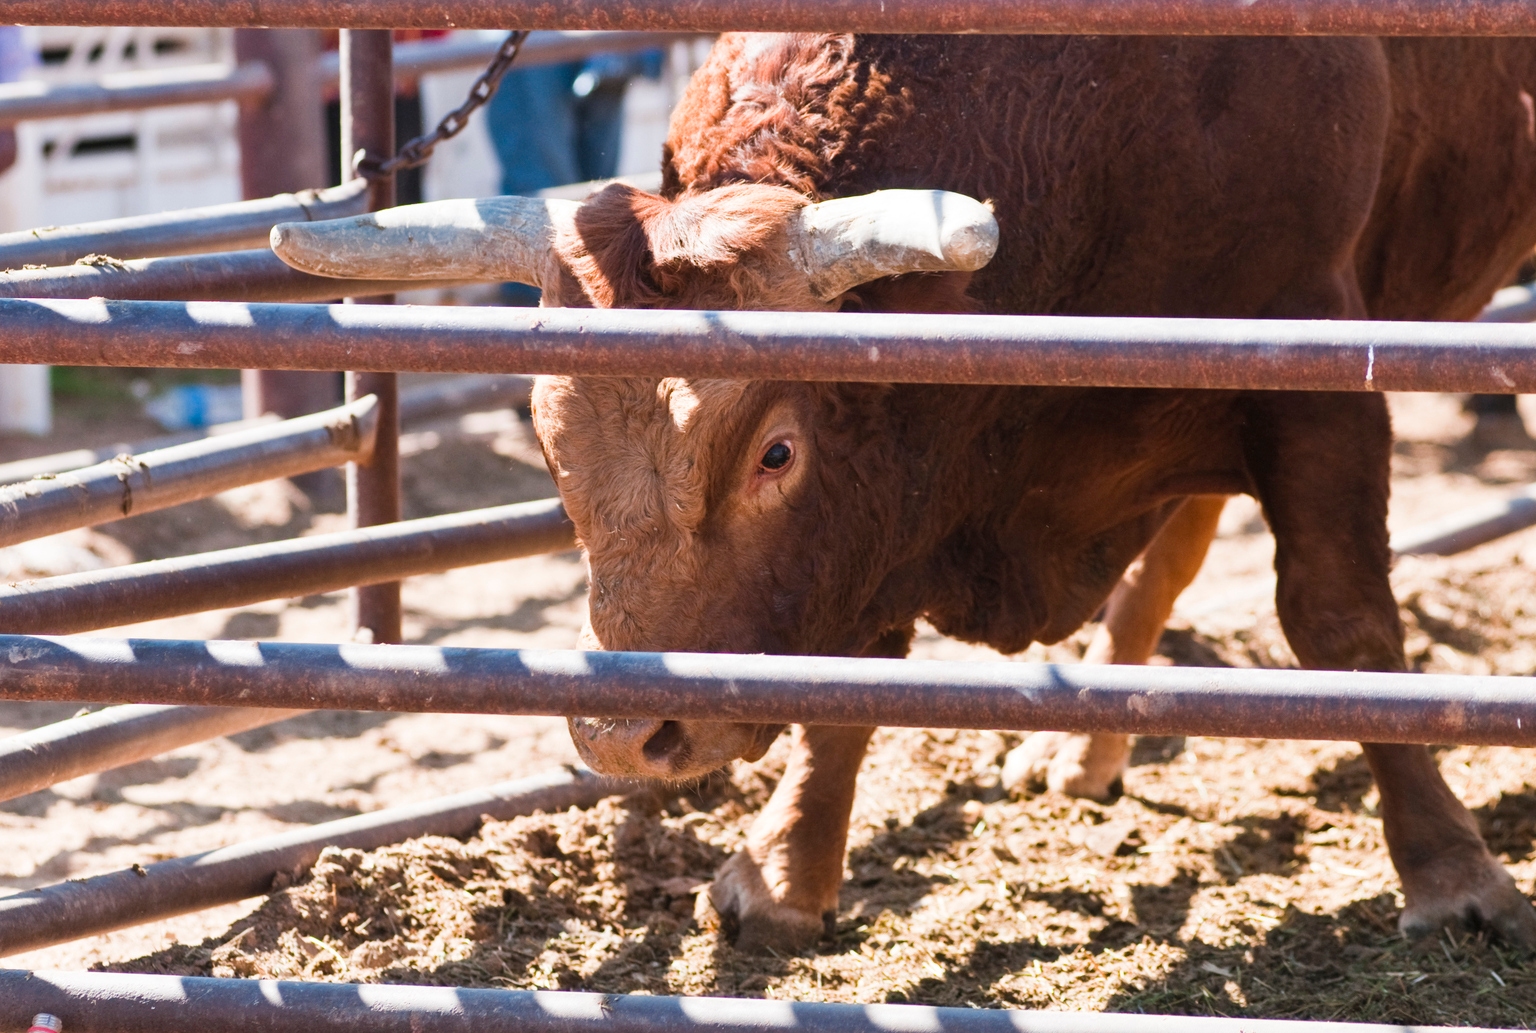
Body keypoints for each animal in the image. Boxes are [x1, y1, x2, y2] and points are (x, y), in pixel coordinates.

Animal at [272, 33, 1536, 955]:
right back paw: (1087, 749)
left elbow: (1343, 623)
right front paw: (786, 867)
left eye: (775, 454)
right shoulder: (887, 501)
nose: (625, 736)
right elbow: (853, 669)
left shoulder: (1312, 372)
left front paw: (1452, 873)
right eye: (549, 438)